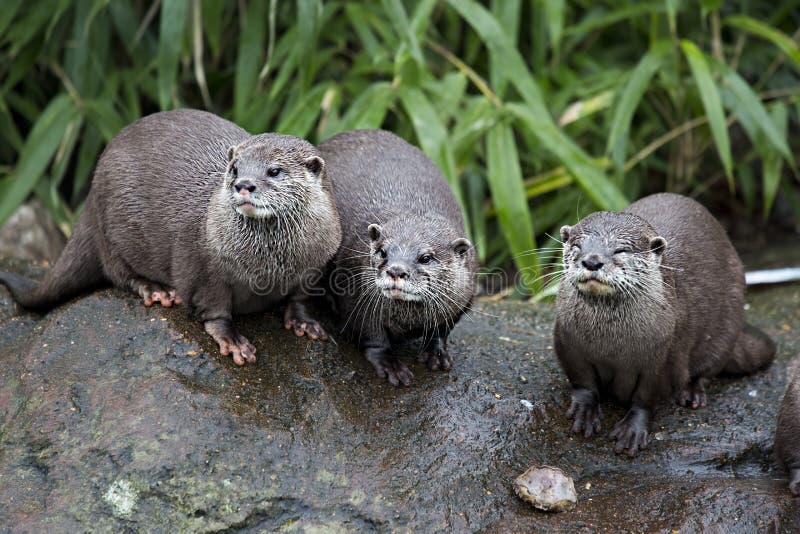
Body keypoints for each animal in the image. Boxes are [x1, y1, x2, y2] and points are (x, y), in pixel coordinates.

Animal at [0, 109, 341, 365]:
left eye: (274, 171)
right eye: (234, 168)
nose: (243, 184)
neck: (271, 266)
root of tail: (93, 190)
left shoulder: (315, 263)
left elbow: (300, 297)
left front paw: (303, 321)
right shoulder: (204, 268)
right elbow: (213, 308)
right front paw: (232, 340)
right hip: (112, 227)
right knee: (117, 272)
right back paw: (155, 289)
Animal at [320, 129, 476, 386]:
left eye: (425, 257)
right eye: (383, 251)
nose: (395, 270)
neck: (407, 319)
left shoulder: (463, 297)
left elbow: (442, 329)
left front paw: (436, 353)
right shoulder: (355, 294)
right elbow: (371, 334)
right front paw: (390, 365)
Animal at [554, 192, 775, 456]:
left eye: (620, 250)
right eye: (578, 246)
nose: (592, 261)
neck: (610, 342)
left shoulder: (666, 357)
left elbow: (647, 397)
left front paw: (633, 429)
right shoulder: (567, 341)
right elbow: (582, 380)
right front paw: (585, 411)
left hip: (728, 327)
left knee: (708, 369)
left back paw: (692, 393)